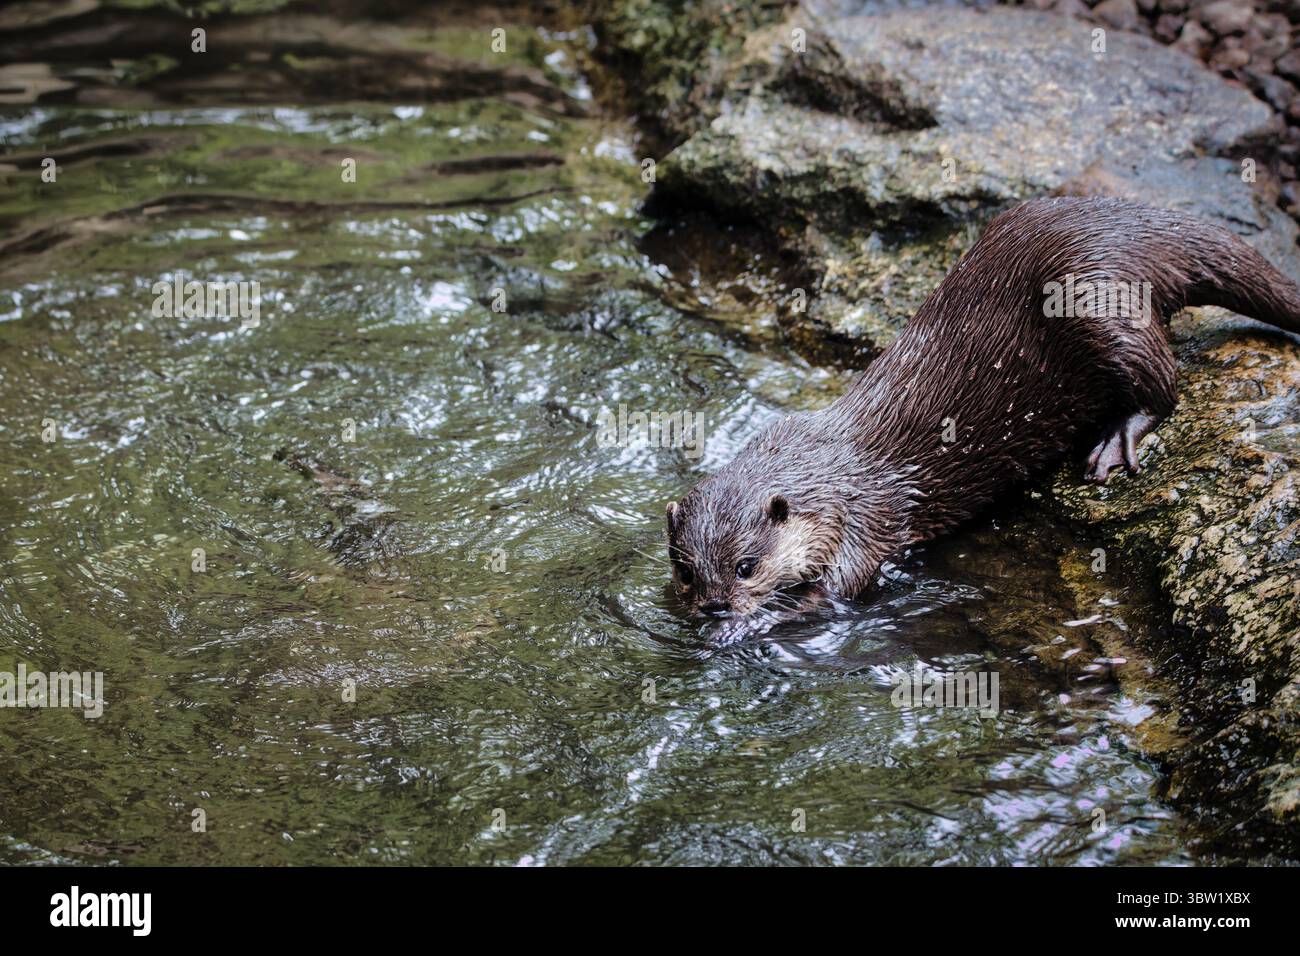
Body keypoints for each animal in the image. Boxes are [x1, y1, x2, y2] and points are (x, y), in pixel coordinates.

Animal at [665, 196, 1300, 633]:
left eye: (747, 566)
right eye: (686, 571)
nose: (714, 605)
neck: (825, 467)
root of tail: (1133, 226)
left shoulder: (861, 522)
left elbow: (836, 593)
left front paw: (753, 623)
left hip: (1102, 308)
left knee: (1163, 382)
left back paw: (1115, 442)